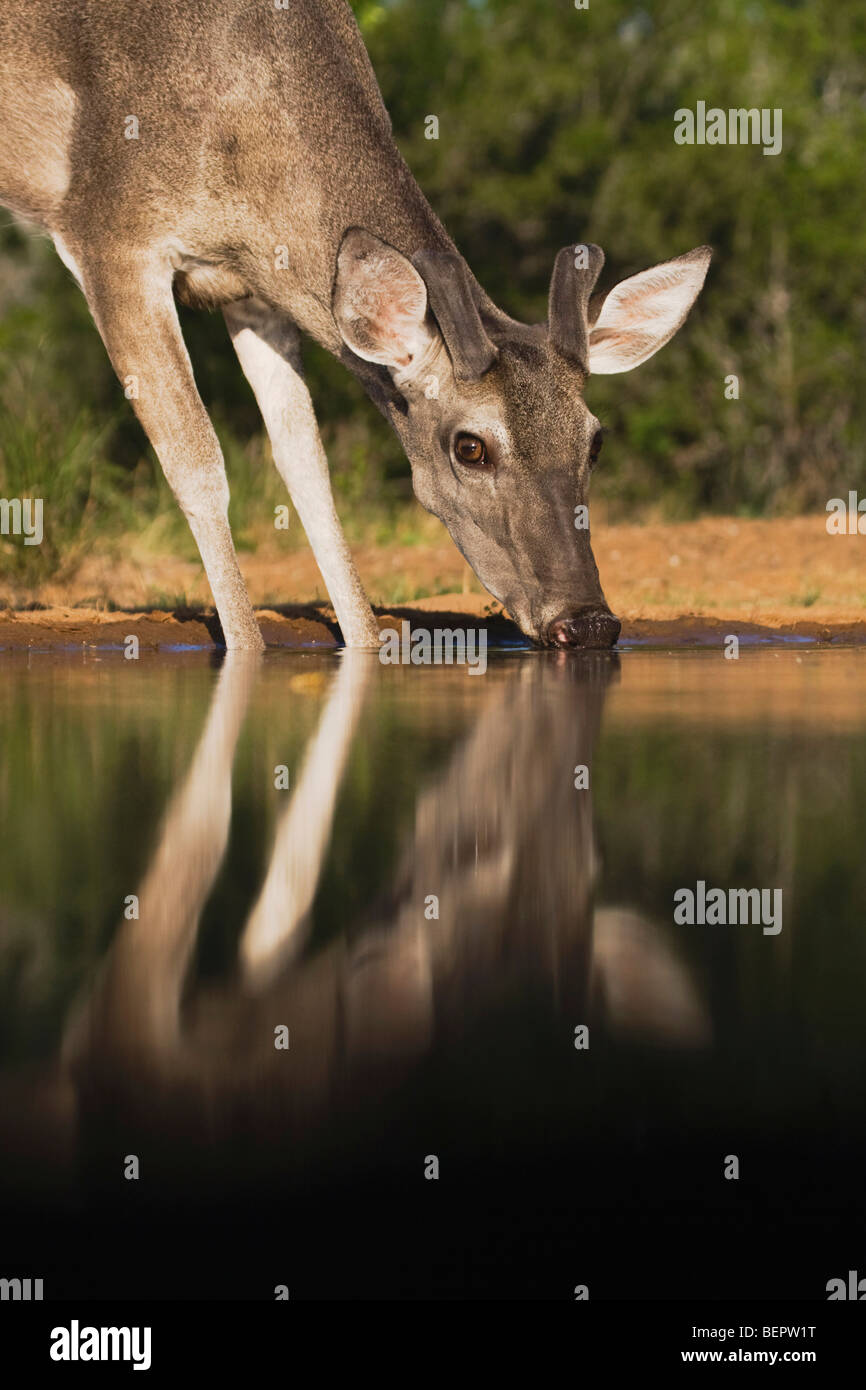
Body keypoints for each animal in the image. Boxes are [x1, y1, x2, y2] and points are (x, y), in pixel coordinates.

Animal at [0, 0, 711, 650]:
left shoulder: (255, 286)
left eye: (595, 440)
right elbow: (196, 462)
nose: (588, 623)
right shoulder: (110, 233)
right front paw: (246, 648)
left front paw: (365, 641)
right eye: (470, 447)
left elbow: (306, 465)